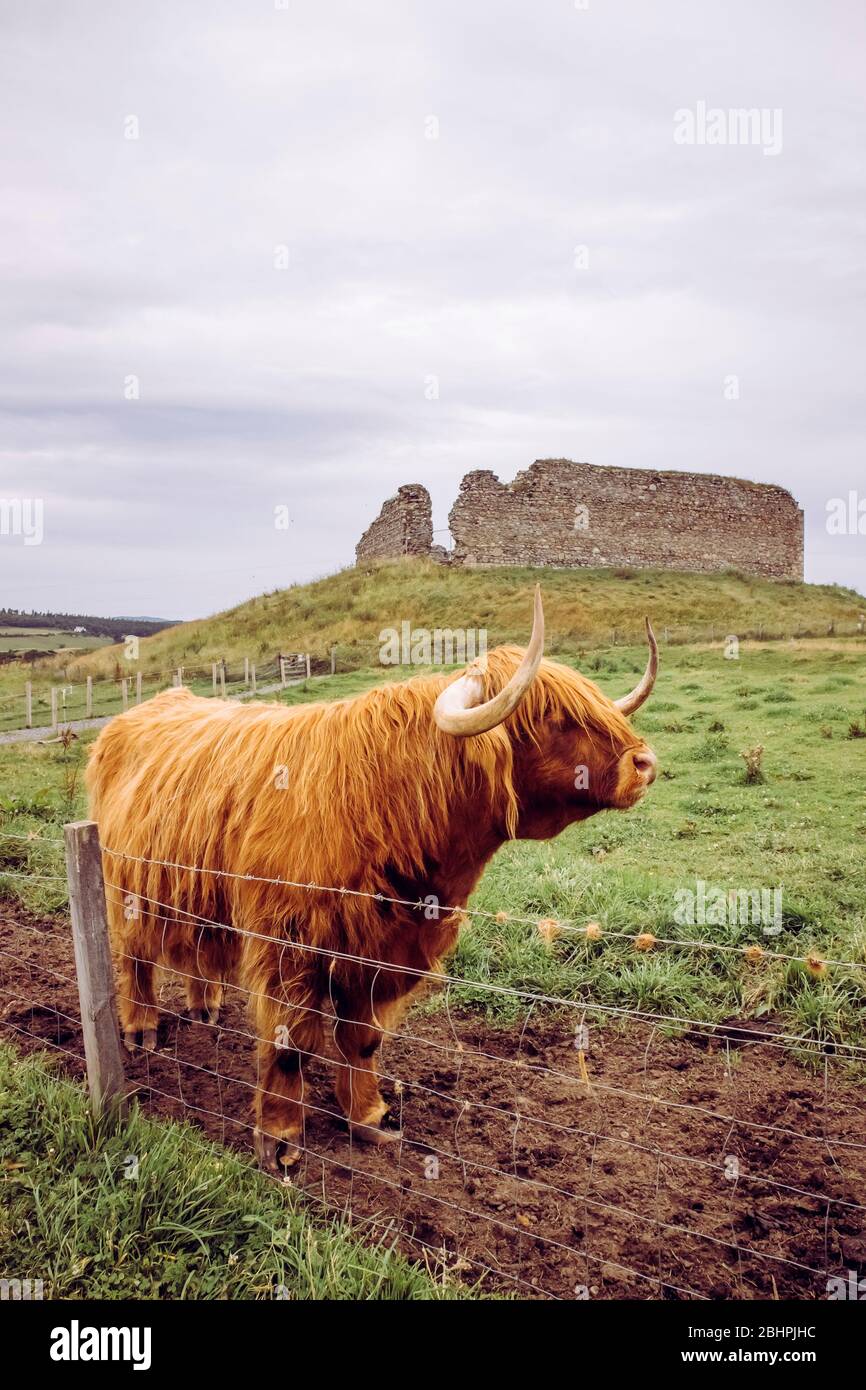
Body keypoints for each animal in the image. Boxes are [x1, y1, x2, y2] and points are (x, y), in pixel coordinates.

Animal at [86, 589, 658, 1173]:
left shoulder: (382, 949)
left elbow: (362, 1038)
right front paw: (281, 1141)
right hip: (127, 886)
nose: (645, 762)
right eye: (553, 716)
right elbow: (291, 1043)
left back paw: (206, 1007)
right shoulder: (289, 946)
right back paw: (141, 1030)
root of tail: (145, 708)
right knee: (134, 956)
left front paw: (368, 1118)